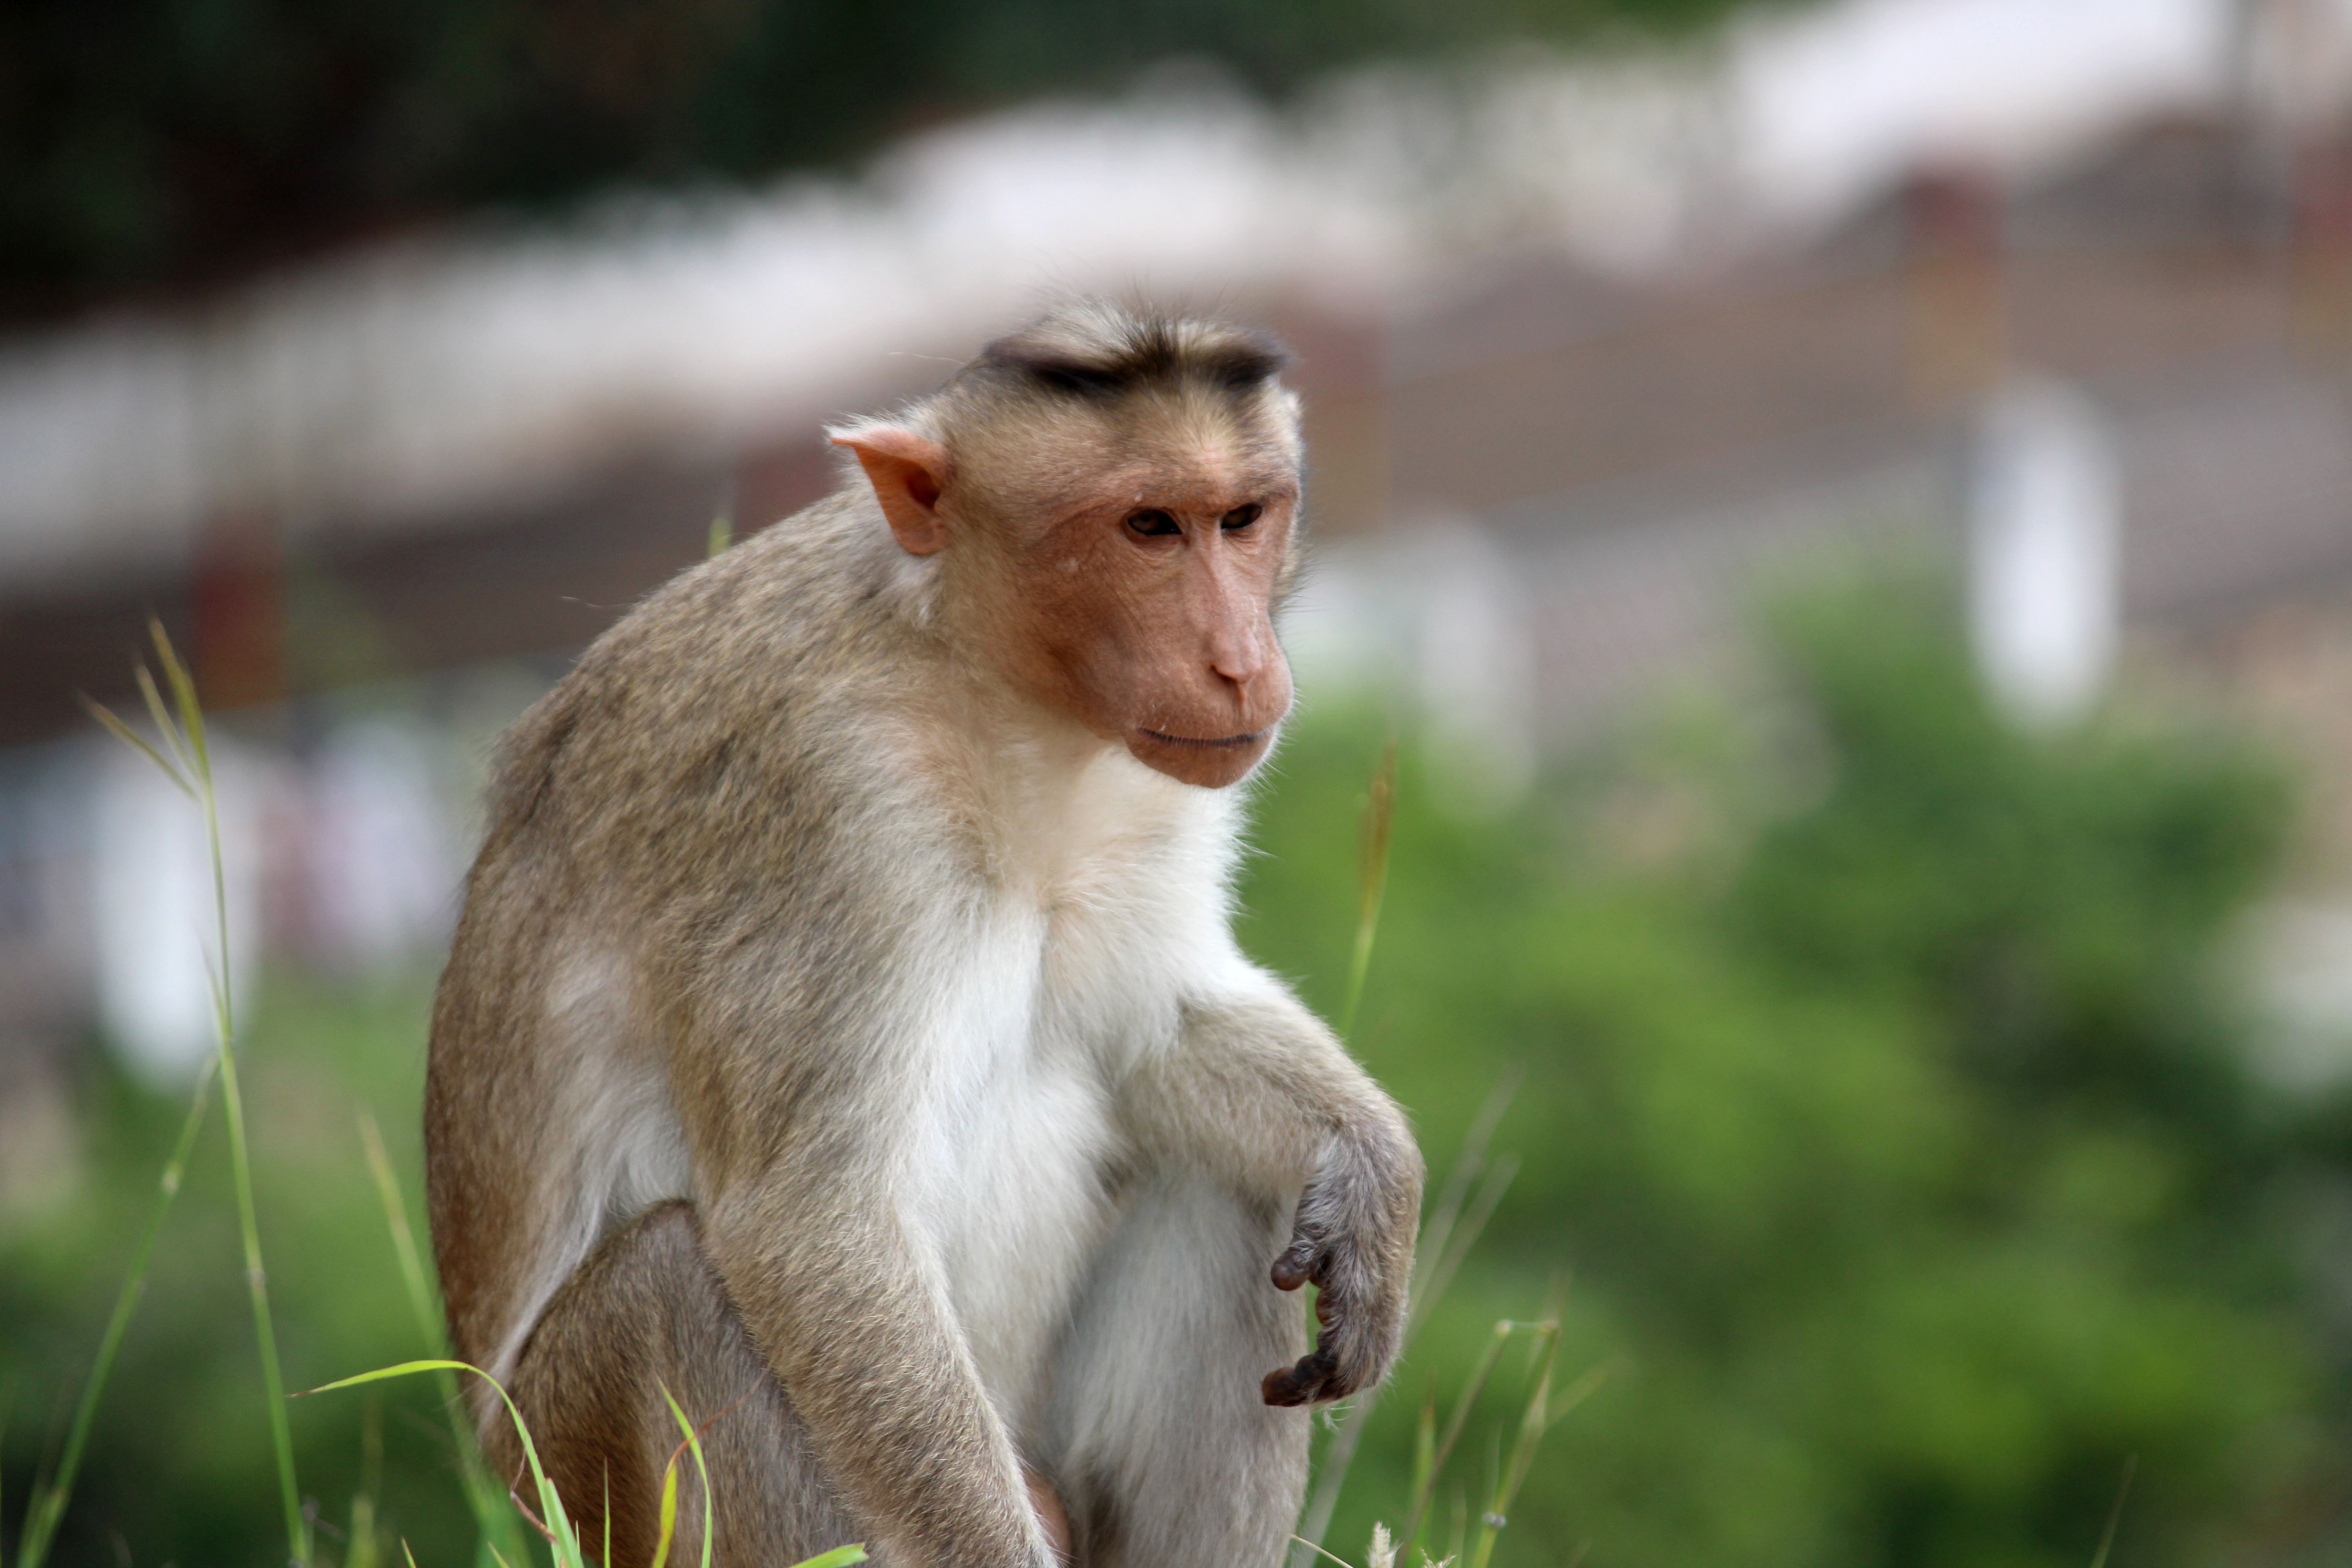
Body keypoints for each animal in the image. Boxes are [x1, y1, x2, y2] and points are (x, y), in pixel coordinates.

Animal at [424, 301, 1424, 1568]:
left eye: (1240, 518)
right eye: (1147, 528)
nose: (1241, 662)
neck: (977, 675)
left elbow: (1156, 1026)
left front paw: (1371, 1170)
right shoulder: (830, 801)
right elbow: (812, 1224)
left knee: (1225, 1183)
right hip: (579, 1474)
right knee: (671, 1280)